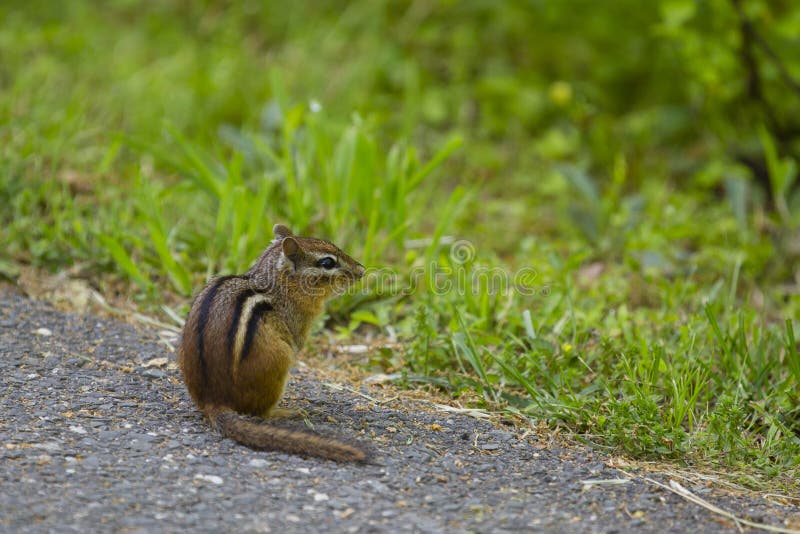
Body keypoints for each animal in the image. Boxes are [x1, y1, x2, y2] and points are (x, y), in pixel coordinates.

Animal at [178, 224, 368, 462]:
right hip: (278, 362)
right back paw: (287, 412)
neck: (279, 283)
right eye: (327, 263)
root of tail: (213, 401)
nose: (362, 270)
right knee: (260, 412)